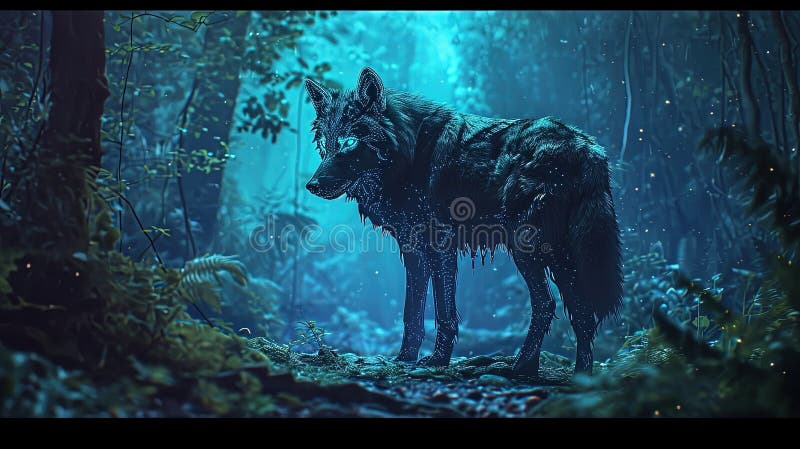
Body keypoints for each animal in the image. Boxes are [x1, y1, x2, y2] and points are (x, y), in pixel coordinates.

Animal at [304, 67, 622, 376]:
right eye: (324, 145)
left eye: (349, 142)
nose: (312, 186)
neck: (408, 155)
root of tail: (589, 149)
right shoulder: (414, 252)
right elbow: (412, 313)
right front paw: (405, 358)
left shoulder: (440, 247)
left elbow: (444, 312)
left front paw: (438, 360)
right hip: (560, 255)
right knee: (582, 313)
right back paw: (577, 376)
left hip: (529, 250)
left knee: (547, 304)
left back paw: (522, 367)